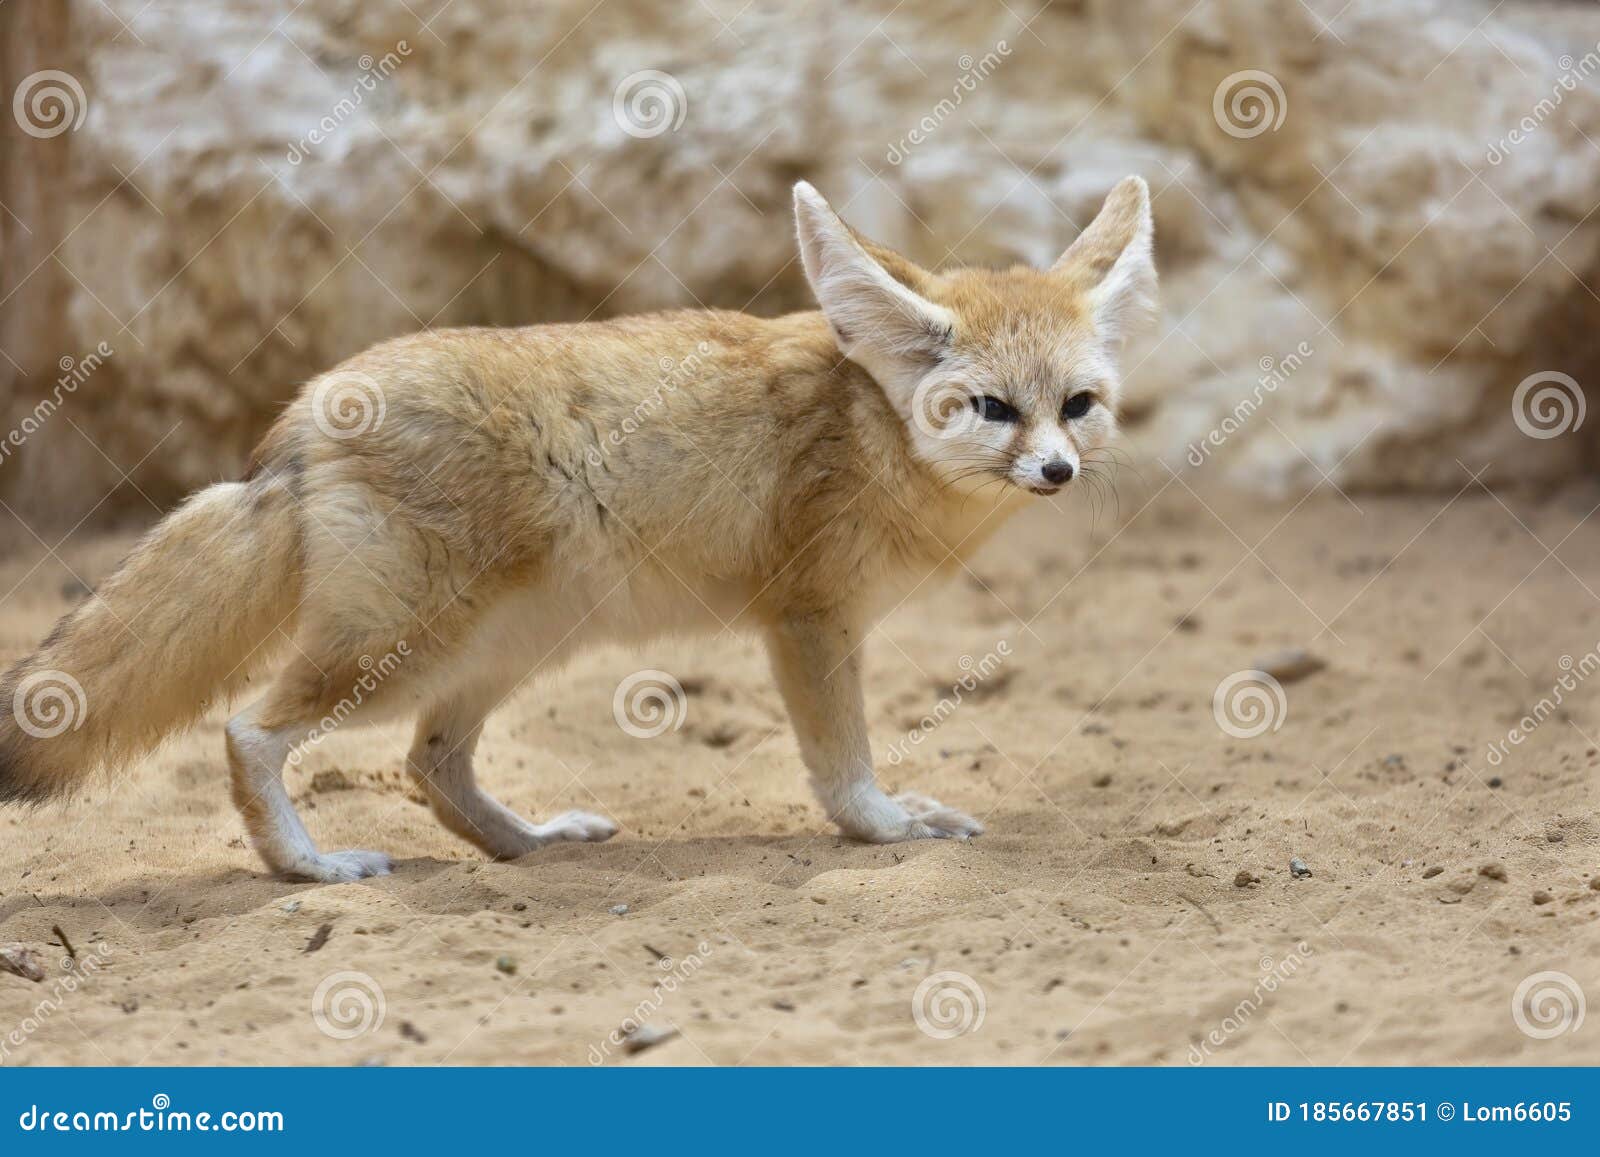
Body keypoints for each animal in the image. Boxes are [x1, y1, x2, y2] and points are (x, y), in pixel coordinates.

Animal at [0, 177, 1156, 882]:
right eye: (992, 409)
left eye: (1076, 407)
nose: (1056, 470)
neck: (873, 422)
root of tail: (308, 407)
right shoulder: (807, 619)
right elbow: (843, 763)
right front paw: (880, 826)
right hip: (401, 648)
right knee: (250, 731)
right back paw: (312, 867)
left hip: (499, 649)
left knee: (431, 765)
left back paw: (529, 843)